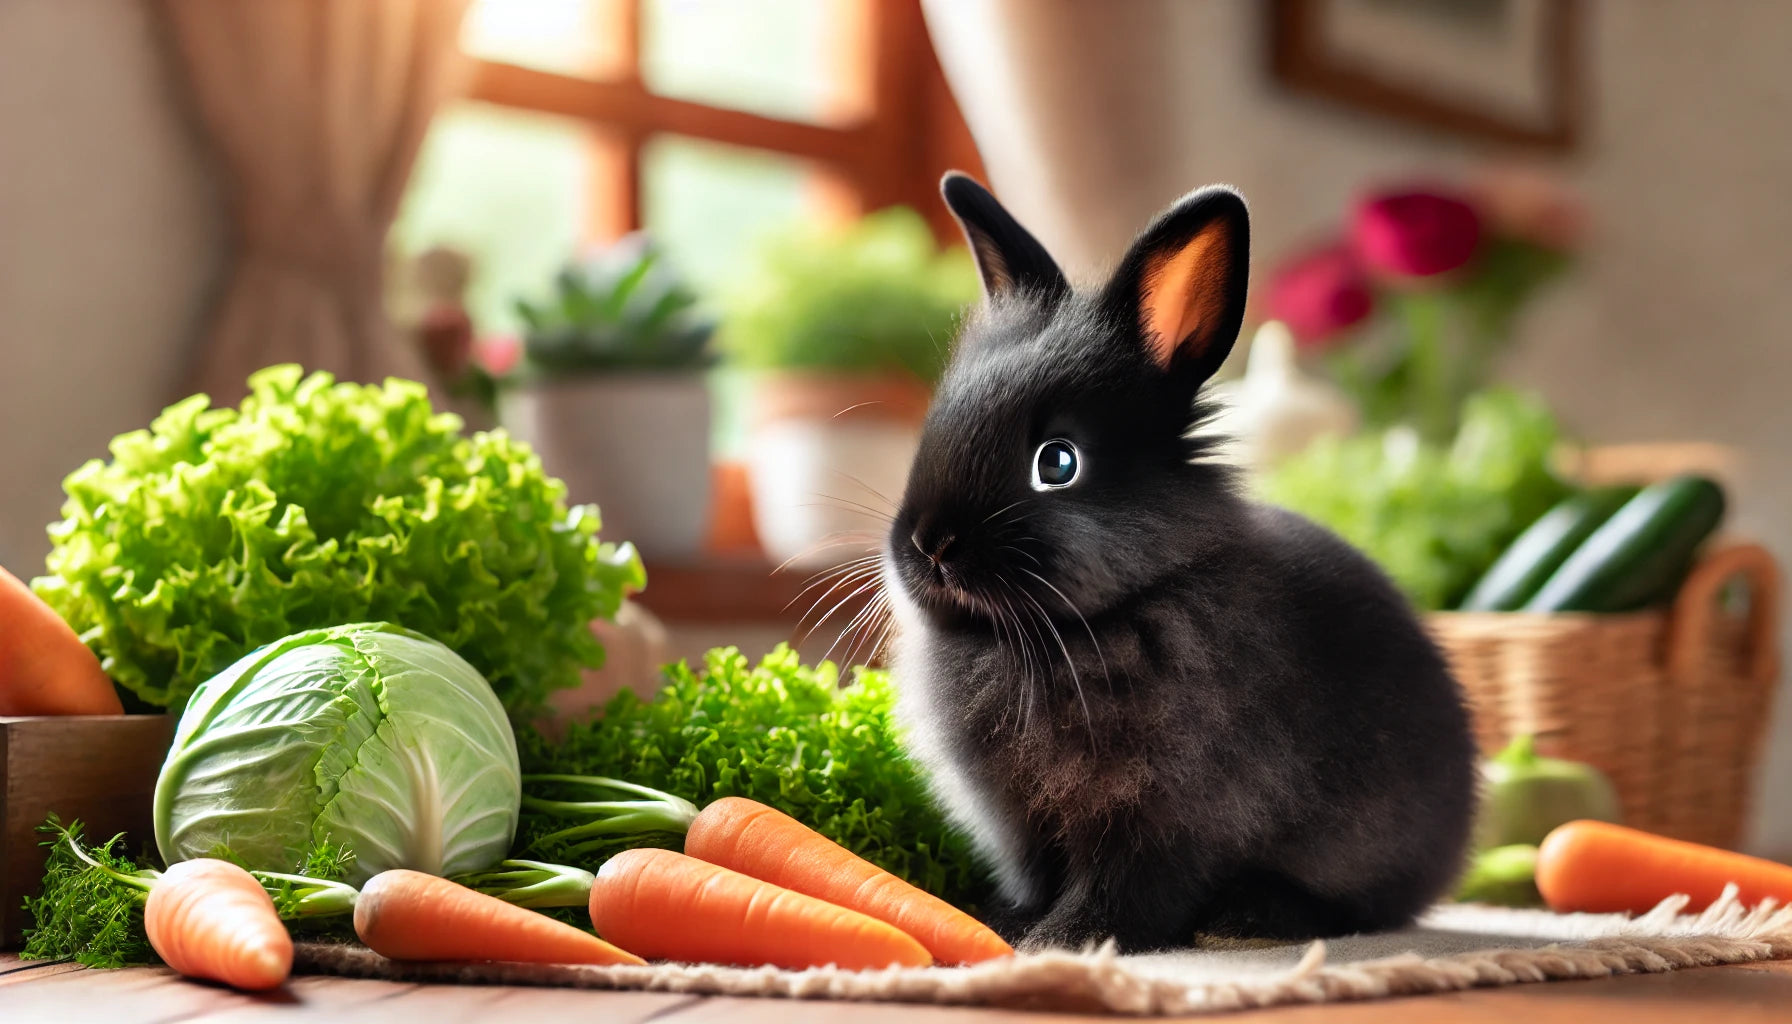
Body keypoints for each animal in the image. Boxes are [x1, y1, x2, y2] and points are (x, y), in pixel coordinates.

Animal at [881, 173, 1478, 953]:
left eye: (1058, 463)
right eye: (932, 429)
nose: (928, 544)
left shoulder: (1168, 811)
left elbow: (1129, 885)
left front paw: (1067, 940)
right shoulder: (1021, 823)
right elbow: (1035, 874)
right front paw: (1003, 923)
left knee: (1361, 909)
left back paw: (1249, 921)